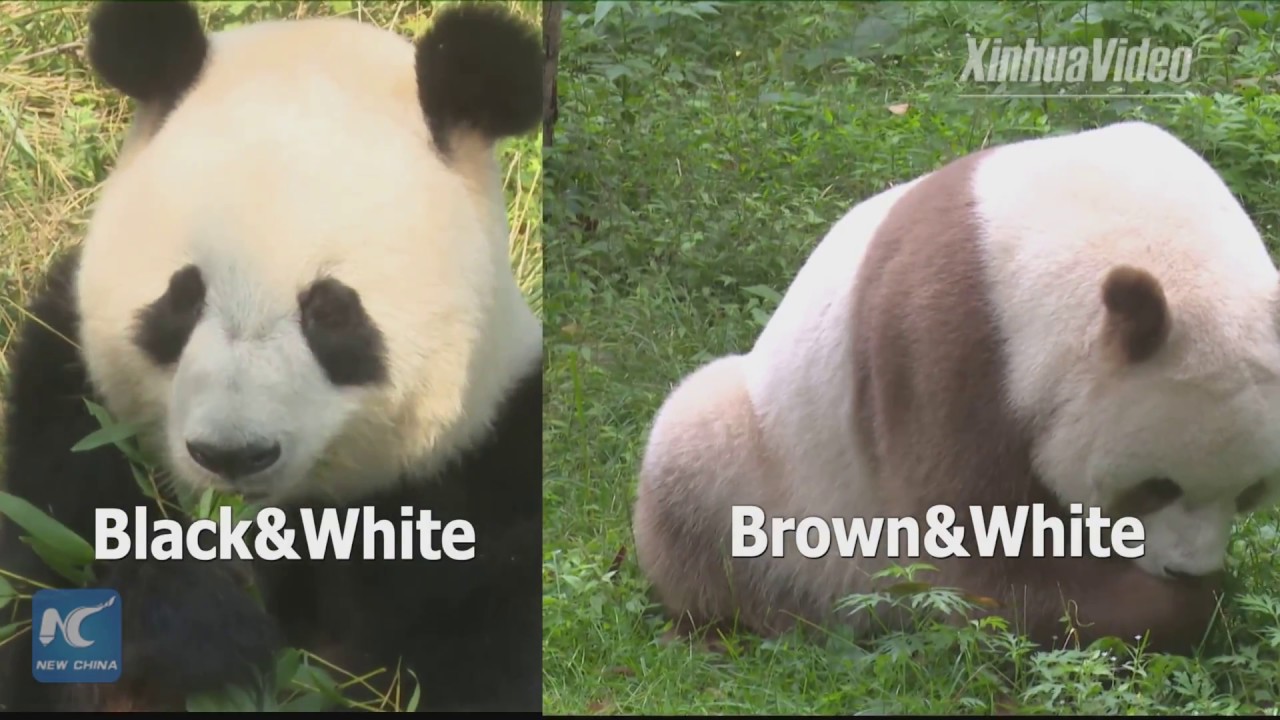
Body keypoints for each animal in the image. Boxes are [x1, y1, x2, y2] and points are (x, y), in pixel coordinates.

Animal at [0, 0, 542, 712]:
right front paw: (197, 629)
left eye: (331, 311)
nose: (233, 454)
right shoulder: (65, 416)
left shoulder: (489, 470)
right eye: (183, 296)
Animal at [633, 120, 1280, 656]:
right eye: (1155, 487)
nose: (1187, 570)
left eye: (1251, 492)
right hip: (776, 470)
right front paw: (1183, 607)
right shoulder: (950, 347)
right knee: (700, 462)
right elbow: (983, 563)